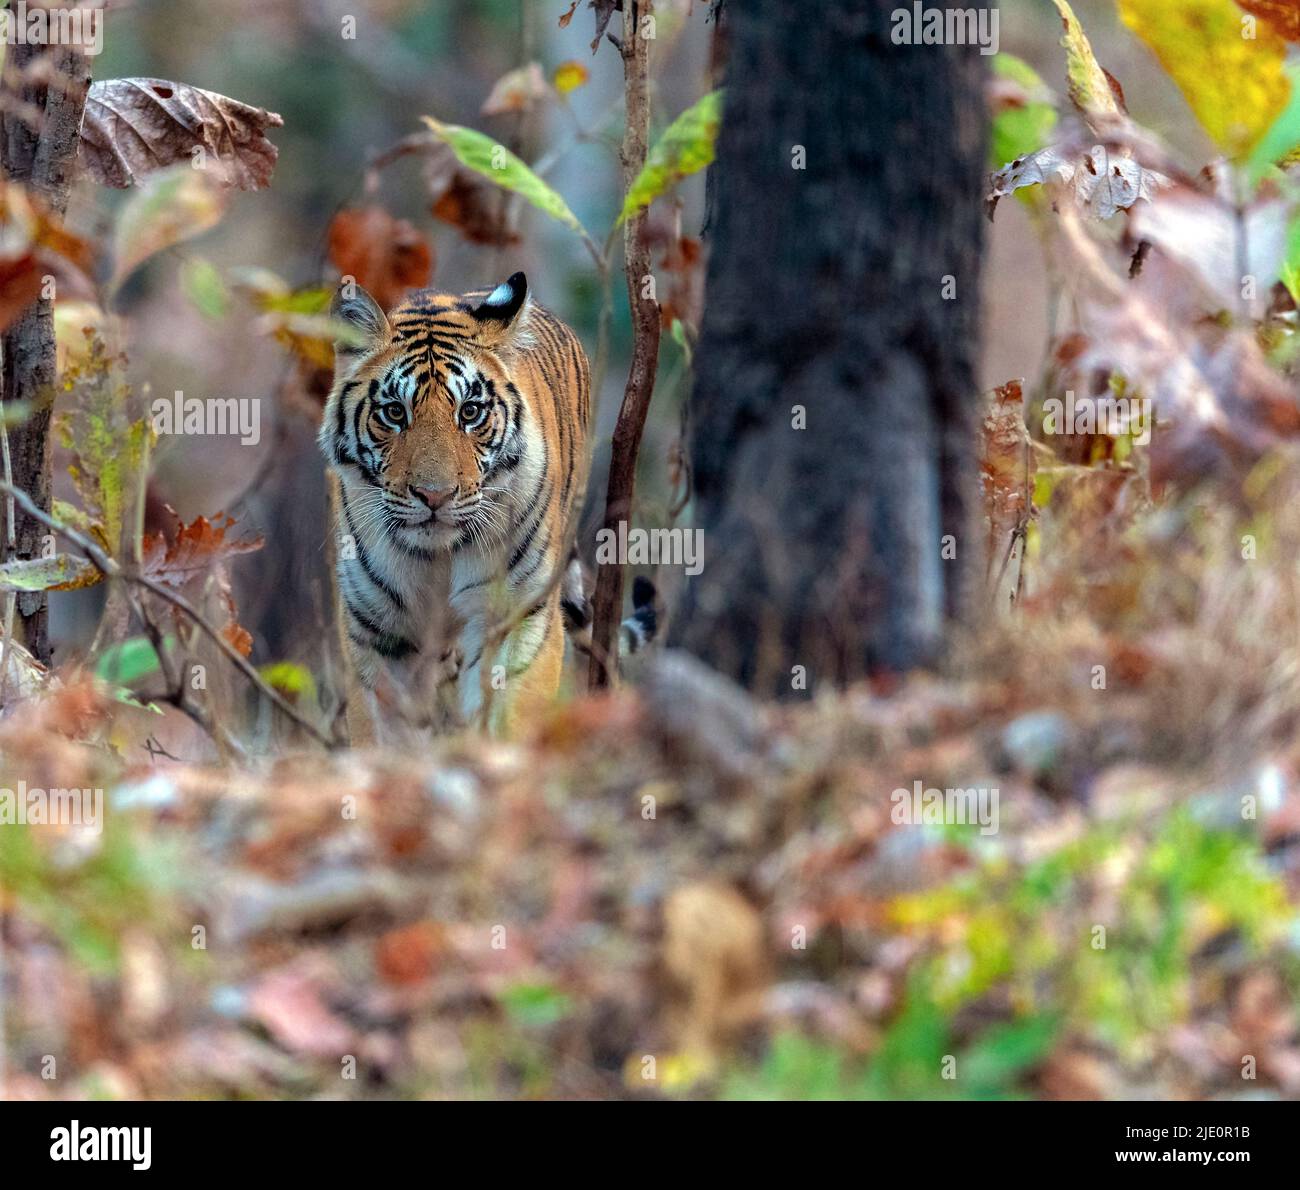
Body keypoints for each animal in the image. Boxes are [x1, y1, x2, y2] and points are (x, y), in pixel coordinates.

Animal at [317, 271, 655, 743]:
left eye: (471, 412)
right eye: (395, 413)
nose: (434, 495)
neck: (436, 558)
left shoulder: (517, 615)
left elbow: (511, 713)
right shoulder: (376, 633)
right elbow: (382, 733)